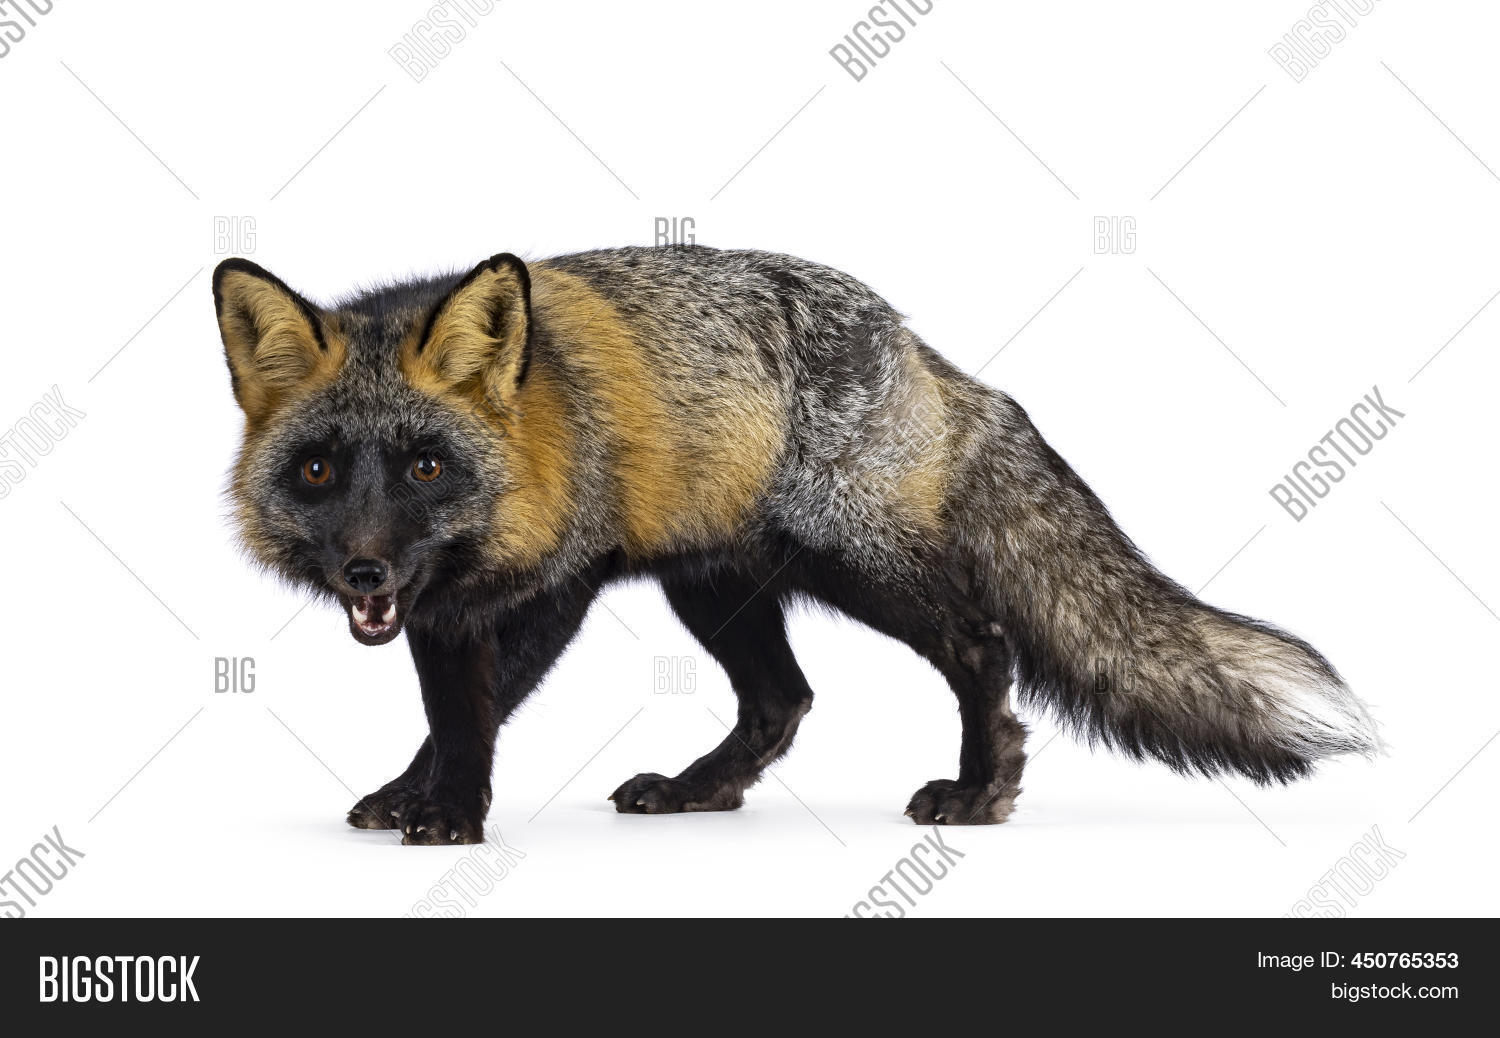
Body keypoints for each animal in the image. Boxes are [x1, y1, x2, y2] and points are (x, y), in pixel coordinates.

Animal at [213, 245, 1378, 844]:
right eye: (318, 473)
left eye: (425, 468)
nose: (364, 568)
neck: (540, 442)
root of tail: (916, 343)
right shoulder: (441, 607)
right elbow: (449, 713)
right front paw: (414, 796)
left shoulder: (559, 583)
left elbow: (473, 721)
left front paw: (450, 811)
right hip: (714, 584)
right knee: (785, 698)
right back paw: (700, 790)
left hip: (855, 562)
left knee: (981, 645)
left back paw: (982, 792)